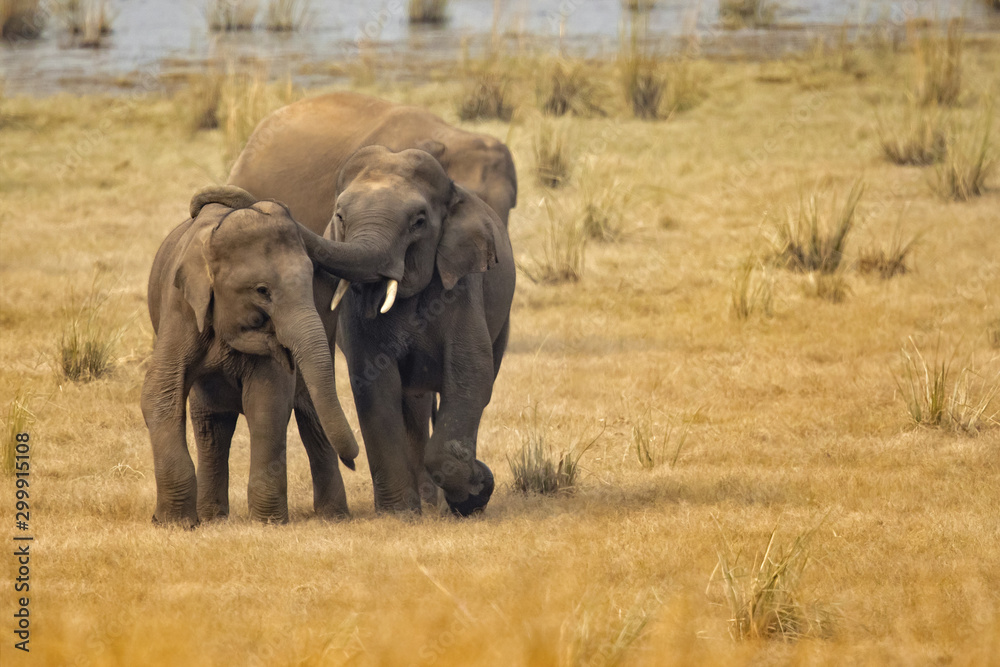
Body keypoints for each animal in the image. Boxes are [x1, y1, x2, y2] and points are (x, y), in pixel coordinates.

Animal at [141, 185, 393, 527]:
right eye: (262, 291)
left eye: (311, 282)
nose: (355, 462)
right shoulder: (180, 309)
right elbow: (160, 393)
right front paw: (175, 524)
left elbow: (268, 401)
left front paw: (268, 522)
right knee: (211, 424)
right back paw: (213, 518)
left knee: (312, 414)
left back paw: (334, 517)